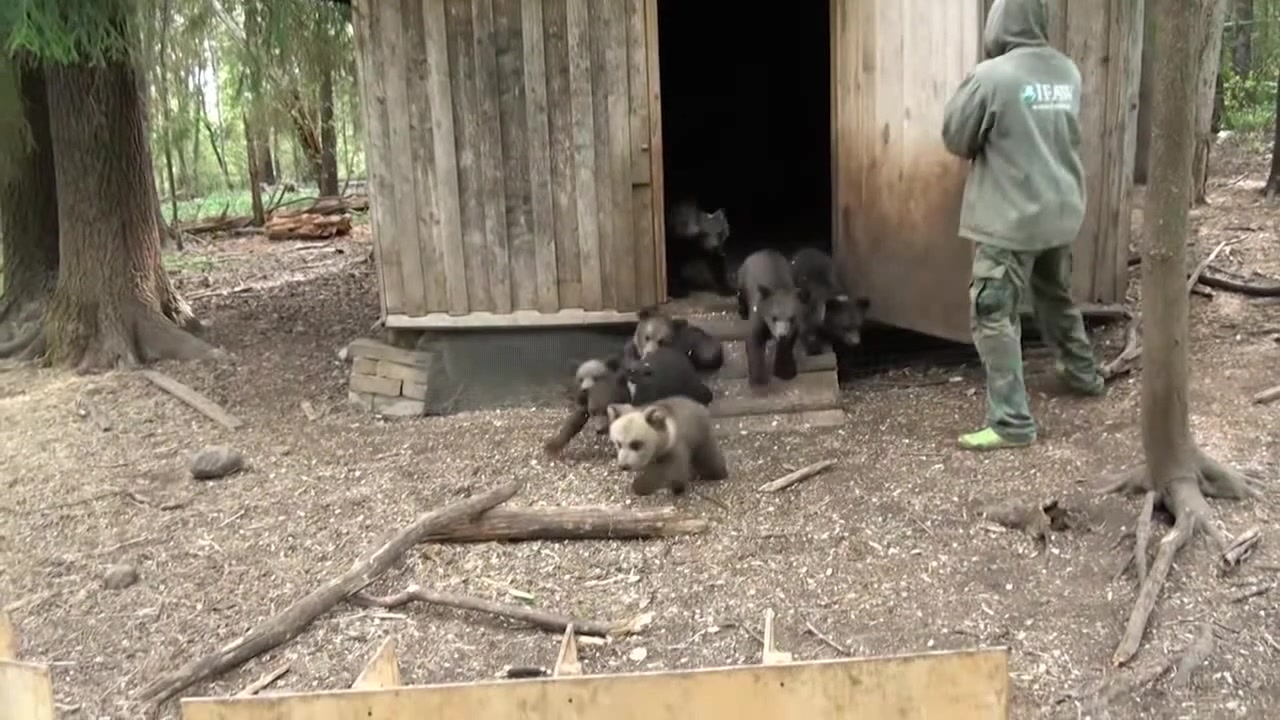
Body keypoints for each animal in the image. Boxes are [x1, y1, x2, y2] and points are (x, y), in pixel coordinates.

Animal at [735, 248, 809, 387]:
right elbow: (754, 343)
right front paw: (758, 379)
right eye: (773, 317)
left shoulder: (794, 327)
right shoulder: (760, 317)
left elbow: (787, 347)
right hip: (742, 280)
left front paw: (785, 370)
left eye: (792, 318)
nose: (781, 335)